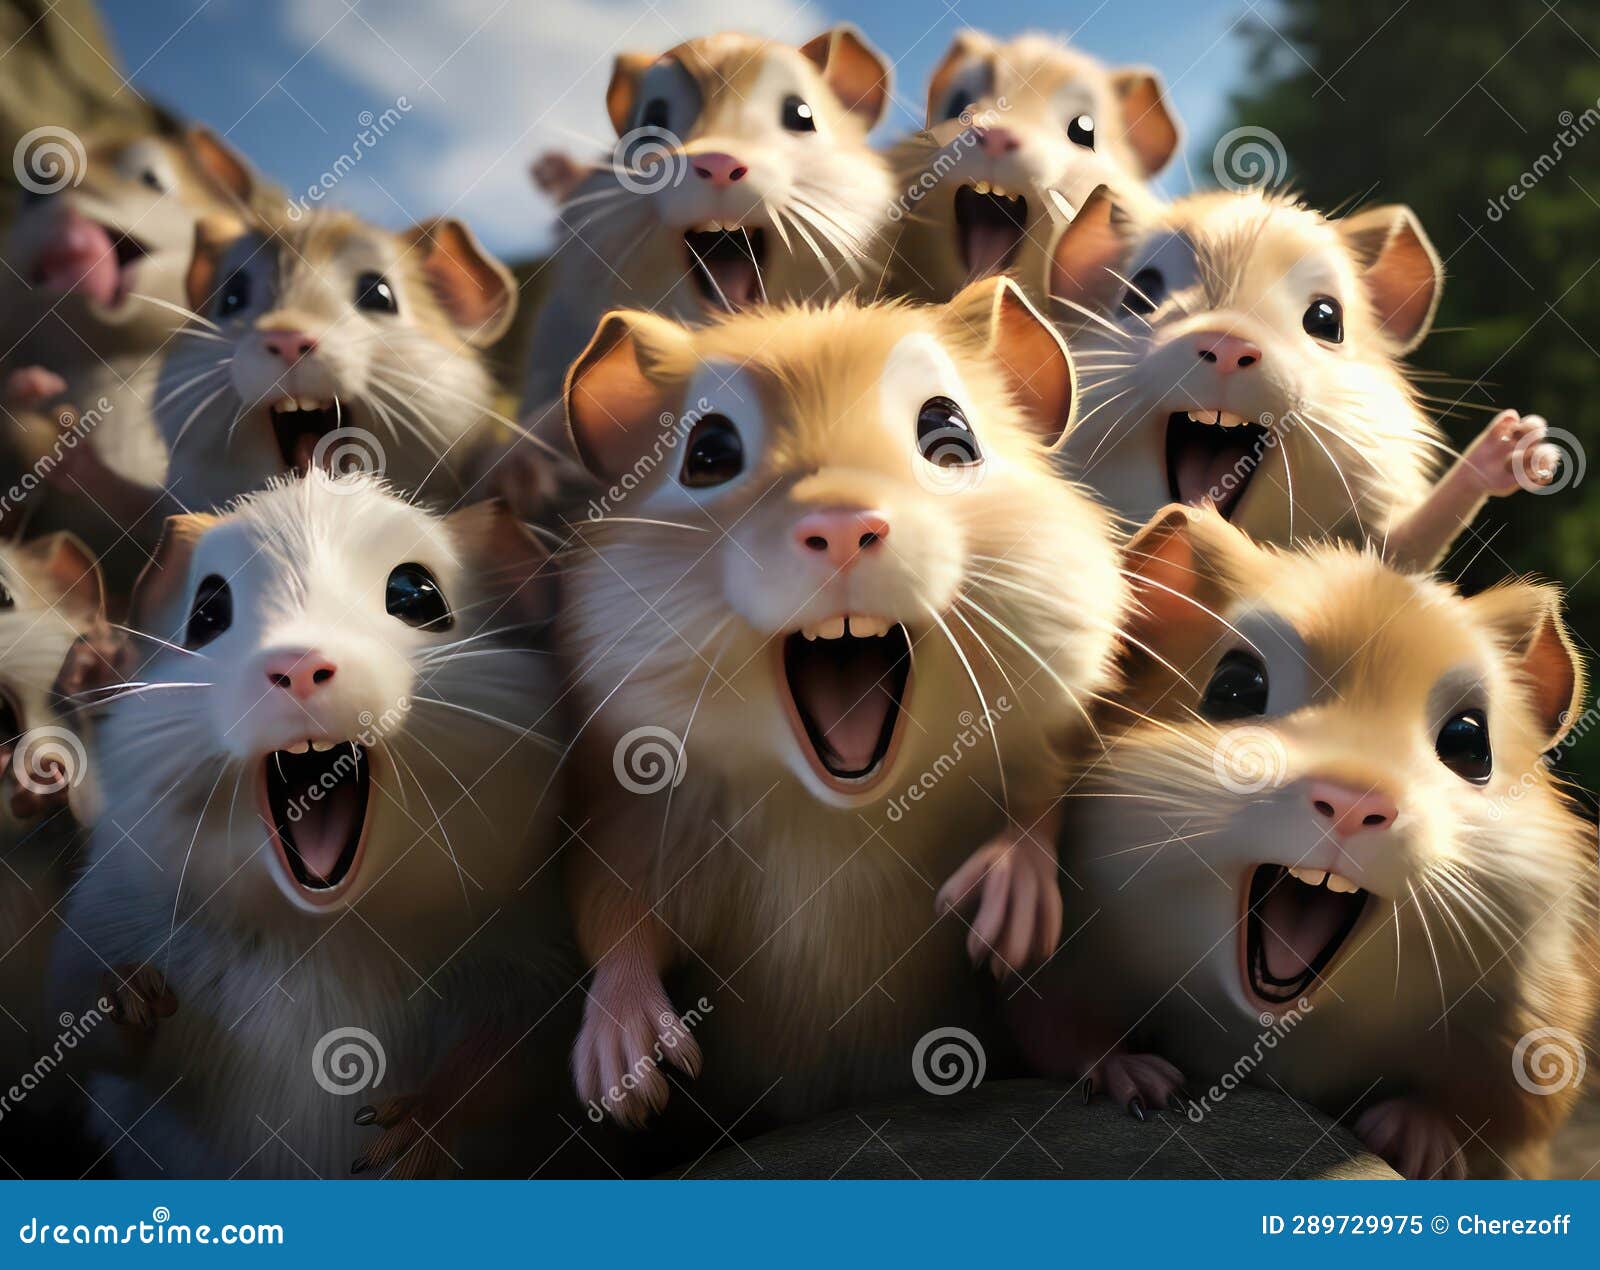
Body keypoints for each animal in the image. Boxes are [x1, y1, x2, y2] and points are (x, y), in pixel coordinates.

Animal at [52, 471, 580, 1178]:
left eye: (417, 595)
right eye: (207, 612)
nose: (298, 665)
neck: (322, 935)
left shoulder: (539, 970)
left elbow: (505, 1059)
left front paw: (394, 1144)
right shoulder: (97, 929)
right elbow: (85, 1030)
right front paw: (133, 995)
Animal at [558, 277, 1126, 1136]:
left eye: (950, 436)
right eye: (708, 453)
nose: (844, 526)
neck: (847, 817)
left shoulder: (1045, 736)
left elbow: (1042, 797)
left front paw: (1006, 918)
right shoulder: (636, 822)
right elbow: (613, 914)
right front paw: (628, 1078)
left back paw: (1131, 1074)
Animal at [1013, 504, 1597, 1179]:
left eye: (1470, 744)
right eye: (1235, 688)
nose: (1355, 800)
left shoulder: (1531, 1029)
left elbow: (1493, 1114)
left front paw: (1415, 1141)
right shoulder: (1056, 970)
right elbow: (1059, 1035)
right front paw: (1141, 1084)